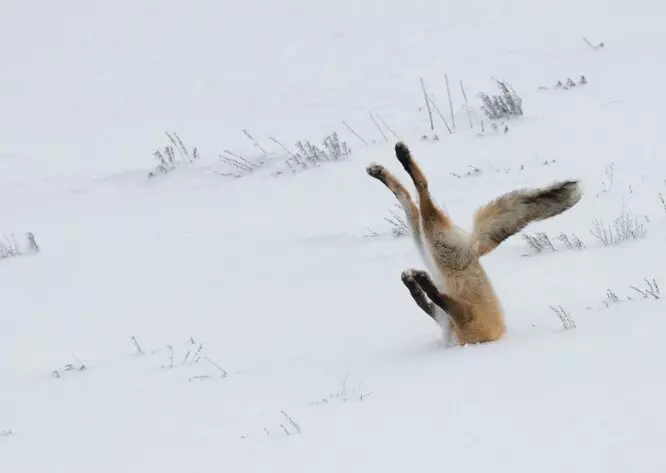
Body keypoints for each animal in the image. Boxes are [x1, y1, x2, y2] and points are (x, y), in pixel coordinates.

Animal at [366, 142, 580, 344]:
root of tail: (474, 248)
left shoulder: (463, 317)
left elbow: (433, 298)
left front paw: (418, 281)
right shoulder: (452, 317)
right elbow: (426, 300)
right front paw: (414, 281)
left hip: (433, 242)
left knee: (419, 192)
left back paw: (399, 159)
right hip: (428, 243)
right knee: (410, 197)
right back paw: (384, 168)